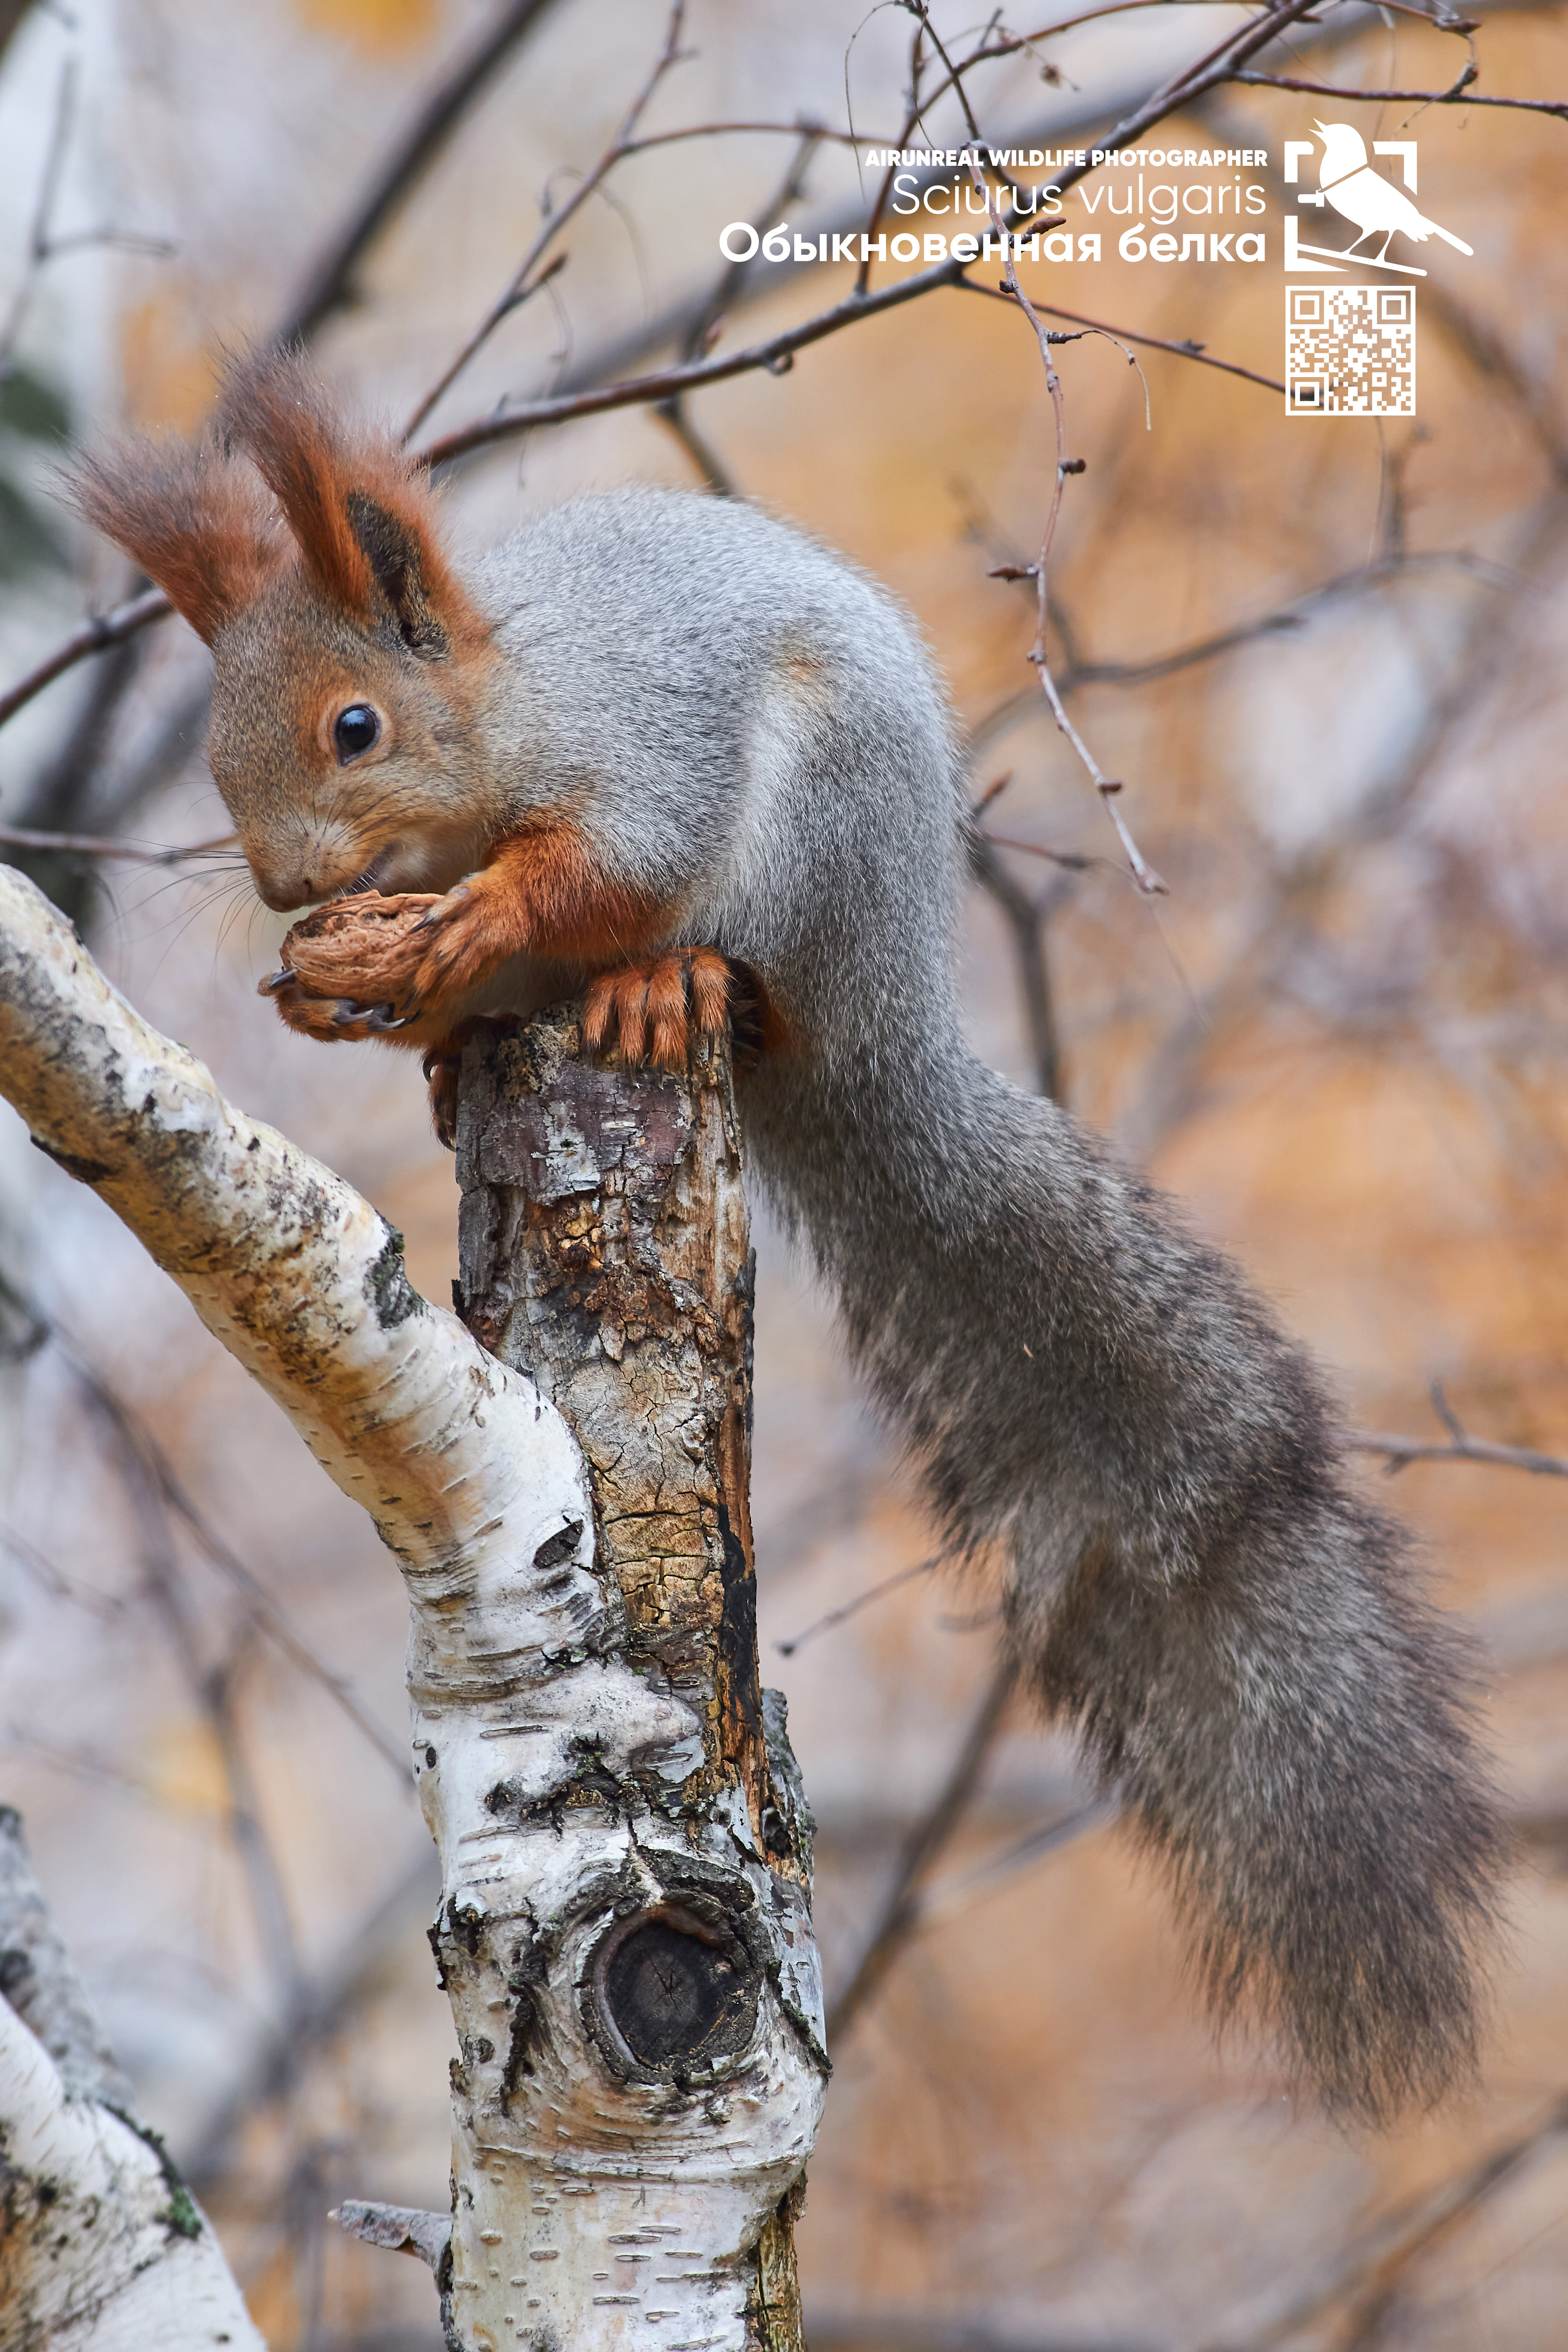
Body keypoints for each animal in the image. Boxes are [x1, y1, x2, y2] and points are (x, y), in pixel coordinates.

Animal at [73, 353, 1504, 2136]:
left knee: (713, 963)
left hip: (806, 846)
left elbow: (597, 866)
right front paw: (328, 982)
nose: (279, 883)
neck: (507, 713)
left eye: (355, 728)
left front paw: (469, 923)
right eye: (216, 753)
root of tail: (886, 1018)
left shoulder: (646, 746)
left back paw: (655, 982)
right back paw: (449, 1051)